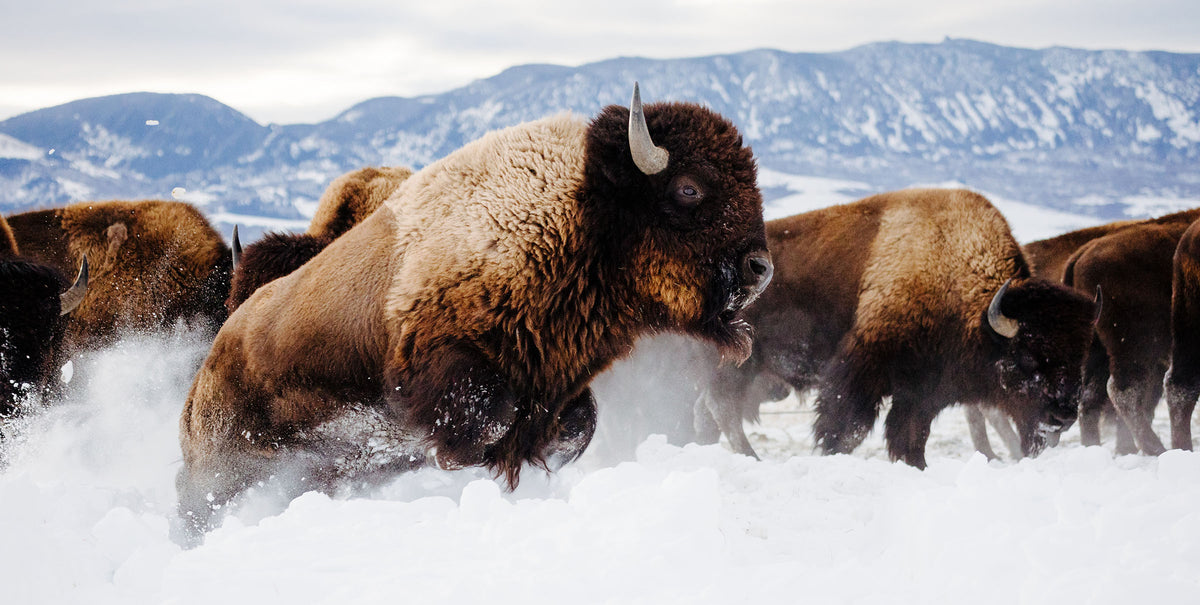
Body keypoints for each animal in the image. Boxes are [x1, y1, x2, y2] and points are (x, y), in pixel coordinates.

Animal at [177, 85, 773, 534]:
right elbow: (490, 417)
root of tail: (211, 361)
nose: (760, 268)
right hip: (223, 469)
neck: (578, 213)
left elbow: (578, 423)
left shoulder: (555, 380)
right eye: (689, 188)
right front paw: (462, 459)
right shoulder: (438, 362)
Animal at [701, 188, 1097, 467]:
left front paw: (916, 466)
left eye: (1080, 356)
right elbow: (848, 427)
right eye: (1028, 356)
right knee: (723, 409)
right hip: (737, 365)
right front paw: (832, 456)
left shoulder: (923, 390)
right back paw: (751, 457)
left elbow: (910, 435)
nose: (1062, 417)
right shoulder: (864, 368)